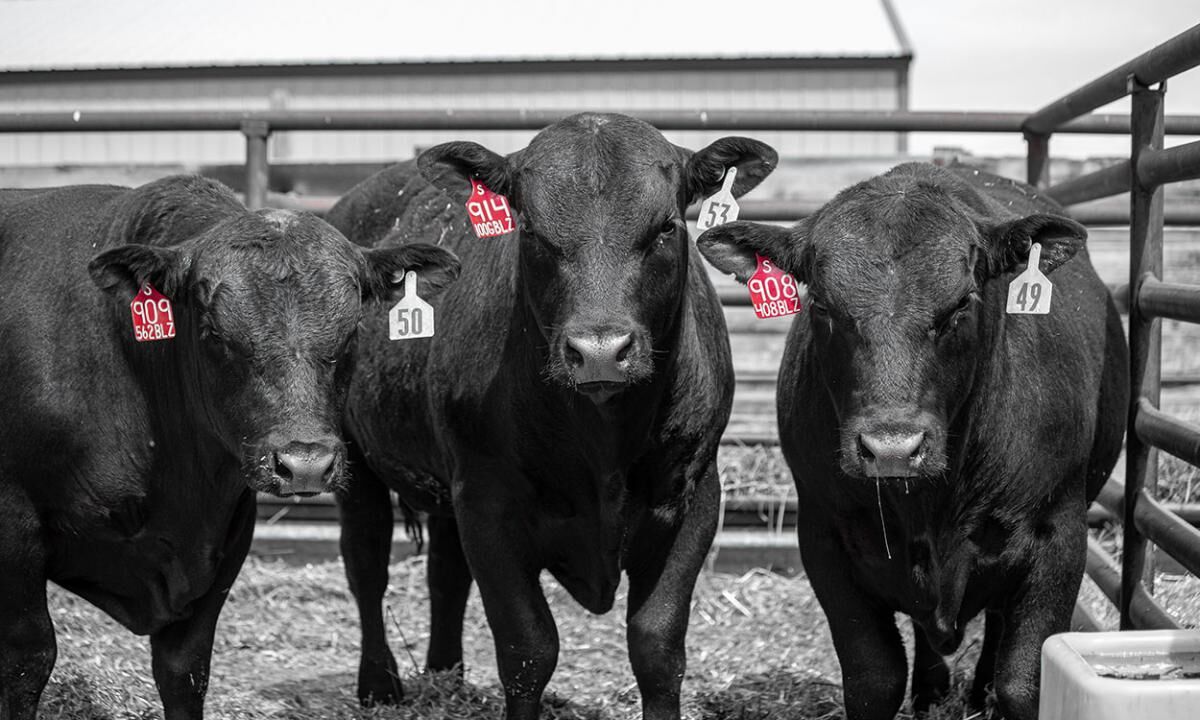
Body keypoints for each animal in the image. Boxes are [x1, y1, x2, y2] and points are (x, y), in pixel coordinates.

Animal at [0, 176, 460, 720]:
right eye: (215, 333)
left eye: (351, 334)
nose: (305, 464)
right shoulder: (14, 524)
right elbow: (29, 658)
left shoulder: (227, 531)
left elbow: (184, 670)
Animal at [325, 112, 776, 719]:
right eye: (533, 231)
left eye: (666, 227)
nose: (600, 350)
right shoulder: (487, 504)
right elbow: (528, 649)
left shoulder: (695, 494)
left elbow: (657, 646)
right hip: (354, 458)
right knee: (366, 564)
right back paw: (379, 683)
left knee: (445, 573)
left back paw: (446, 673)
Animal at [696, 163, 1128, 720]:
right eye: (821, 304)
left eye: (961, 303)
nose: (892, 448)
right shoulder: (824, 535)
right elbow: (874, 678)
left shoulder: (1060, 533)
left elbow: (1024, 680)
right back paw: (930, 690)